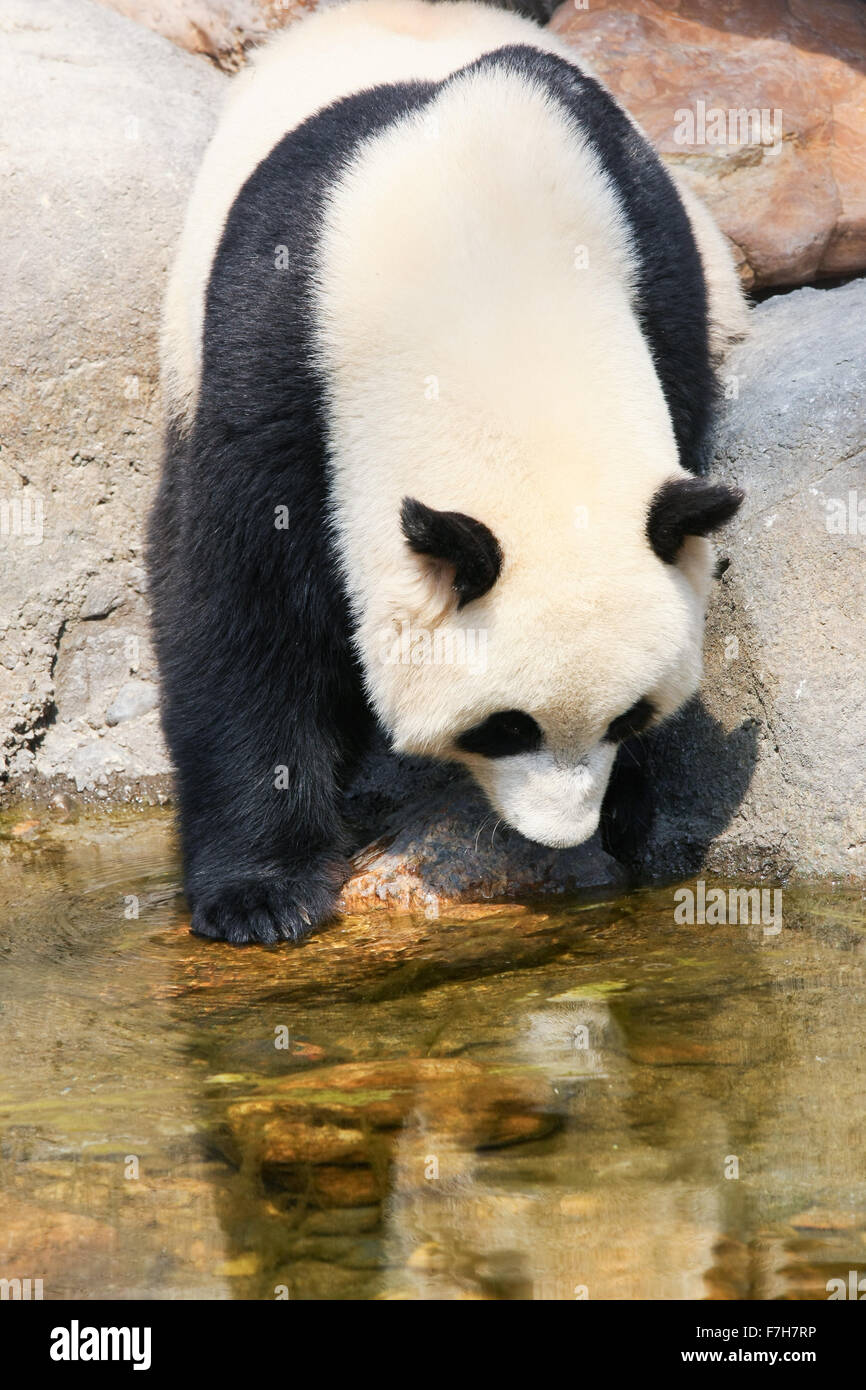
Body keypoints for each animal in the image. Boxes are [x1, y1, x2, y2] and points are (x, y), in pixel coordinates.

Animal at [148, 0, 748, 945]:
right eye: (505, 728)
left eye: (628, 714)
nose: (559, 833)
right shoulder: (279, 342)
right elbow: (237, 600)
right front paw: (262, 894)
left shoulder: (662, 286)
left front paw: (639, 818)